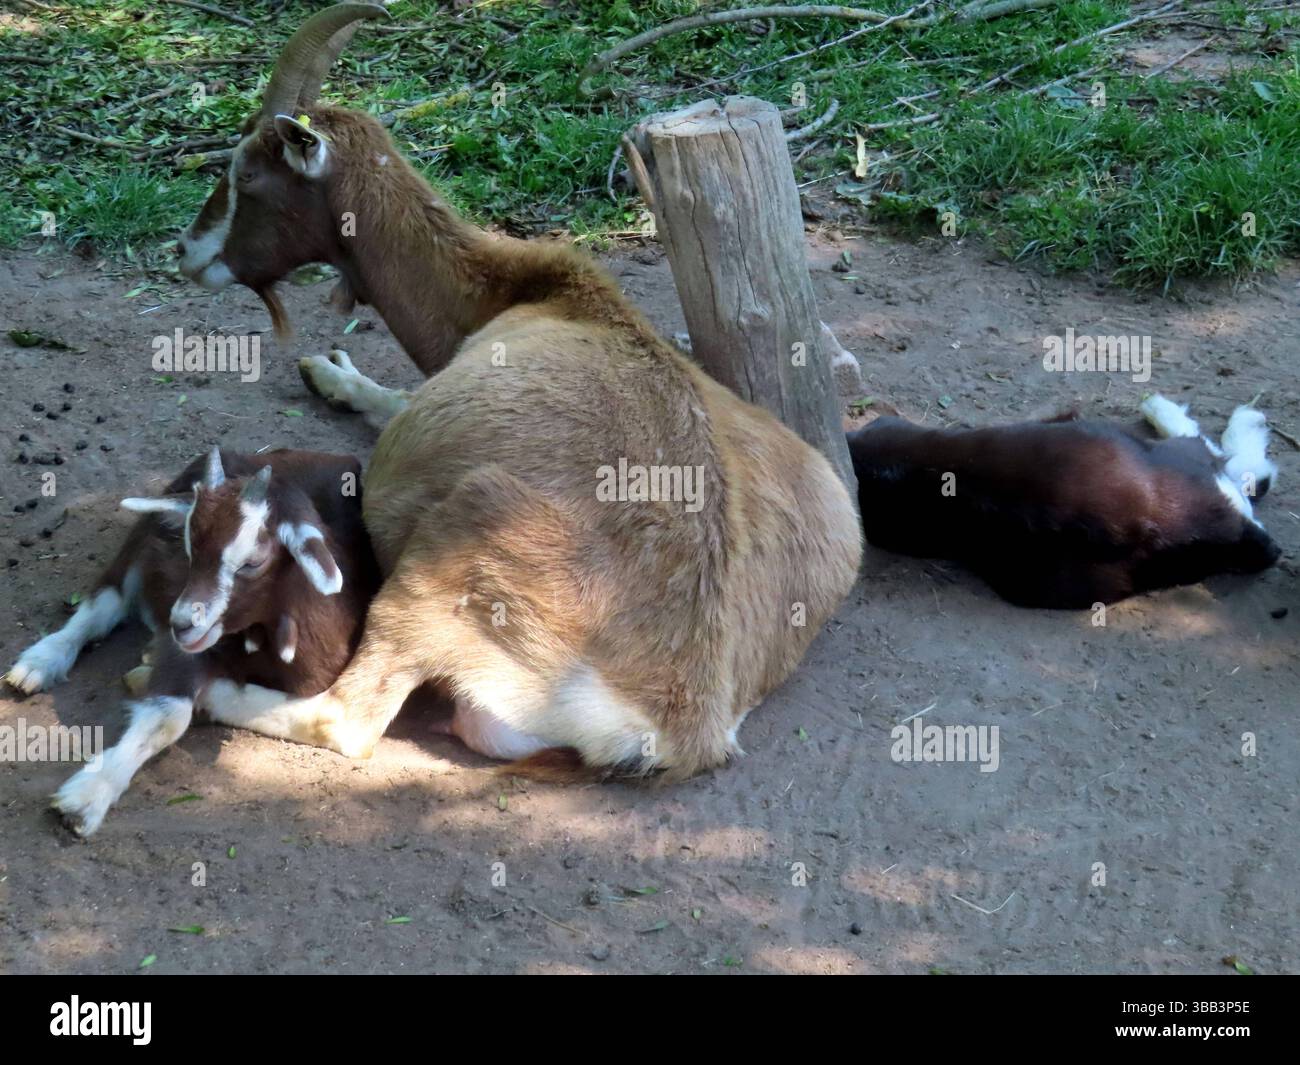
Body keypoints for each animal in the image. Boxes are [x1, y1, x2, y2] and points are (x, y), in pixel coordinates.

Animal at [5, 447, 378, 835]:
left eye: (253, 562)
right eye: (188, 549)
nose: (180, 623)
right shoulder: (189, 650)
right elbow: (168, 716)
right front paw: (89, 795)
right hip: (143, 535)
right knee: (104, 602)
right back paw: (39, 662)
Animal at [173, 4, 862, 779]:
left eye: (247, 170)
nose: (187, 251)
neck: (531, 291)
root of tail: (676, 721)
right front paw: (331, 372)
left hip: (457, 544)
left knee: (346, 717)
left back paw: (202, 689)